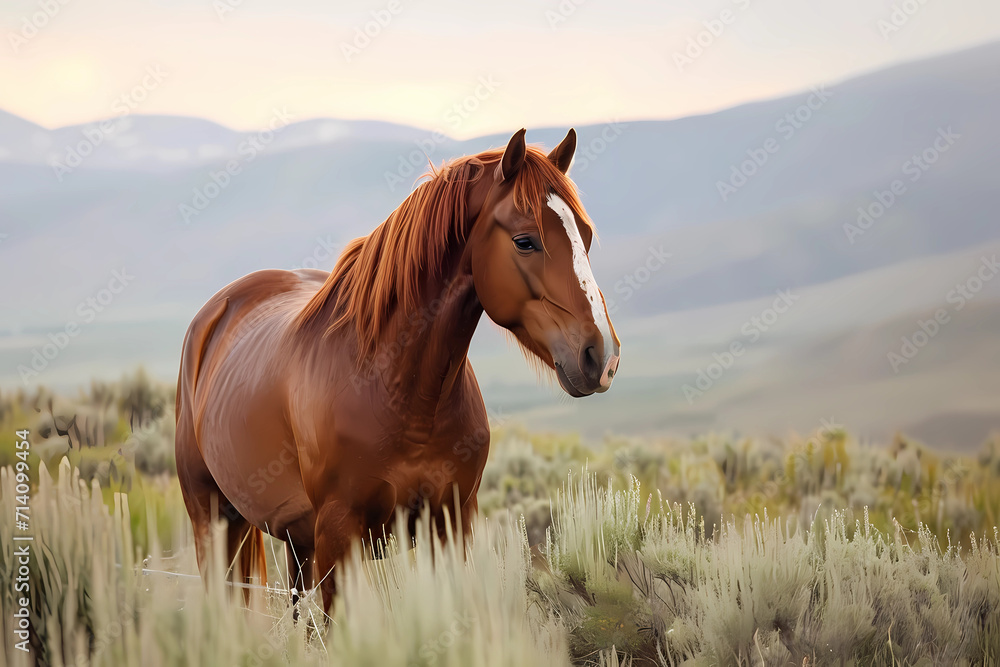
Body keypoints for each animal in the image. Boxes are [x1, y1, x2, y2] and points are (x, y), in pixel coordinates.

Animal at [174, 128, 621, 611]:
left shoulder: (450, 522)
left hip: (295, 542)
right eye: (525, 241)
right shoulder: (338, 534)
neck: (399, 390)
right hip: (214, 522)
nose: (602, 356)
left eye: (587, 236)